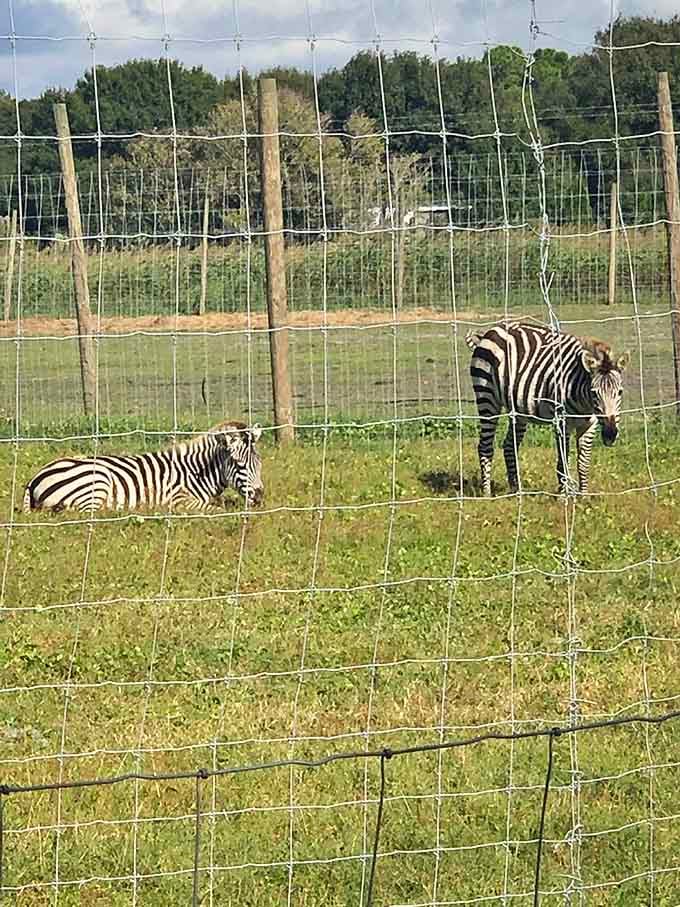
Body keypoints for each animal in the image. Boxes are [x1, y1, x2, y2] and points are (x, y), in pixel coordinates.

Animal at [23, 421, 264, 514]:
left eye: (259, 463)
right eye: (240, 464)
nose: (261, 498)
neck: (196, 472)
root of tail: (34, 479)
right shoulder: (179, 500)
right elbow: (217, 509)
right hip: (97, 480)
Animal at [465, 322, 629, 496]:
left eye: (620, 392)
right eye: (594, 393)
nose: (610, 434)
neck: (585, 402)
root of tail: (491, 331)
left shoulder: (589, 425)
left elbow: (583, 463)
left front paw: (583, 496)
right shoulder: (562, 422)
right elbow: (563, 461)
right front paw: (564, 495)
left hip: (517, 410)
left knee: (509, 446)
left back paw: (516, 490)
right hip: (487, 397)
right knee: (485, 447)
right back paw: (487, 493)